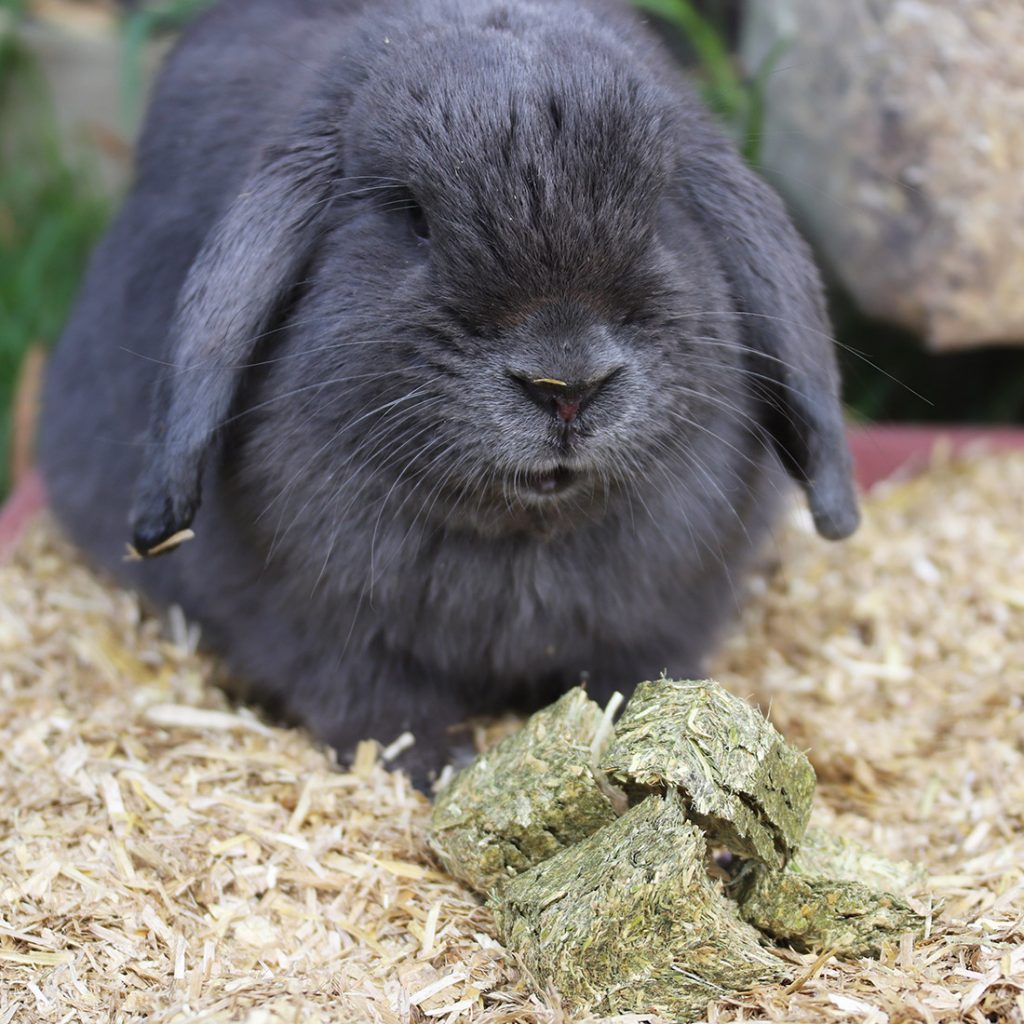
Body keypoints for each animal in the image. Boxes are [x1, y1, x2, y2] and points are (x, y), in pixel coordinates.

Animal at [39, 0, 859, 786]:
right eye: (414, 218)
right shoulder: (315, 622)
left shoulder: (664, 616)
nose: (566, 387)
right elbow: (370, 700)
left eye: (659, 210)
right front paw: (434, 766)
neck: (524, 534)